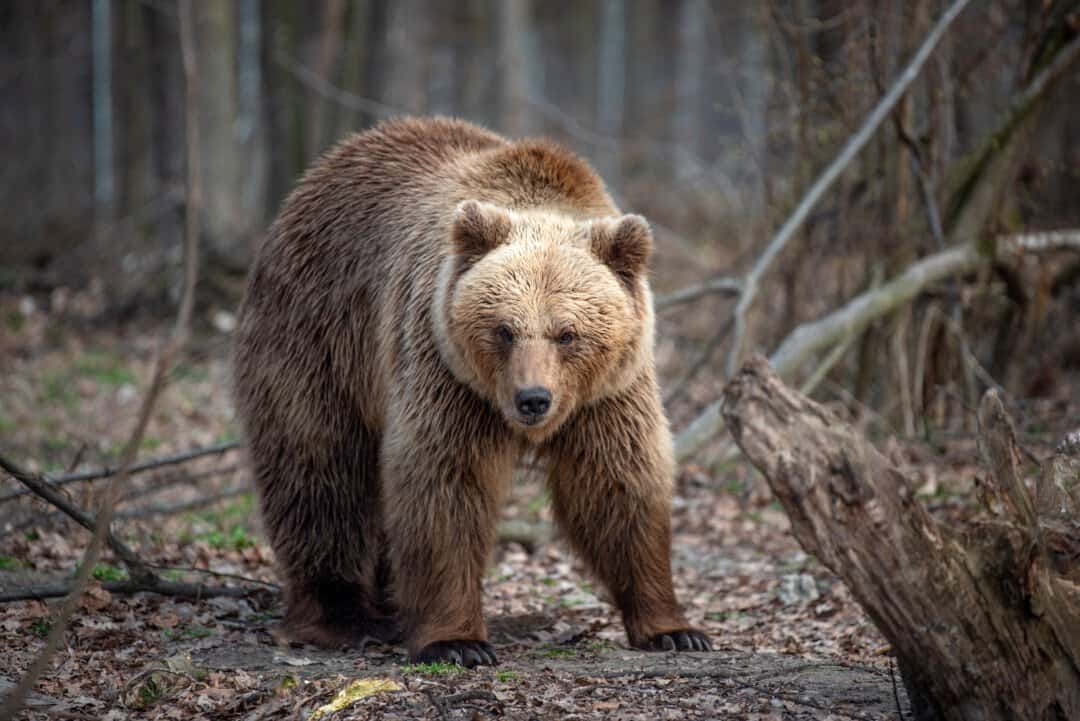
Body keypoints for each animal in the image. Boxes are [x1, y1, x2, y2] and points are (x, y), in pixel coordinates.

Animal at [232, 117, 711, 667]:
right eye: (504, 329)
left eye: (567, 334)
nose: (533, 399)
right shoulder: (448, 371)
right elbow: (445, 484)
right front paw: (457, 641)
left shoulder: (609, 393)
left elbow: (618, 486)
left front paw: (674, 629)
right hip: (318, 338)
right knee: (320, 469)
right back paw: (341, 613)